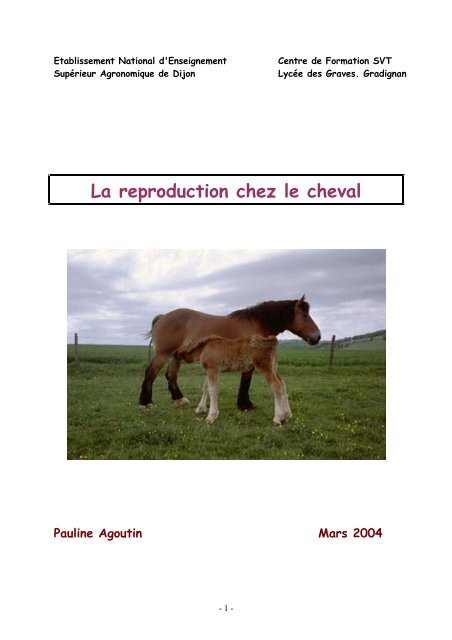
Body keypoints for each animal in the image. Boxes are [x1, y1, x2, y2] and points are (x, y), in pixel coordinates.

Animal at [139, 295, 321, 410]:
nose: (318, 336)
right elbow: (246, 382)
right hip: (163, 354)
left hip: (175, 356)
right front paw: (245, 405)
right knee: (150, 373)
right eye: (305, 314)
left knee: (171, 376)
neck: (256, 323)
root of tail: (163, 317)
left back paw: (179, 400)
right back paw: (145, 403)